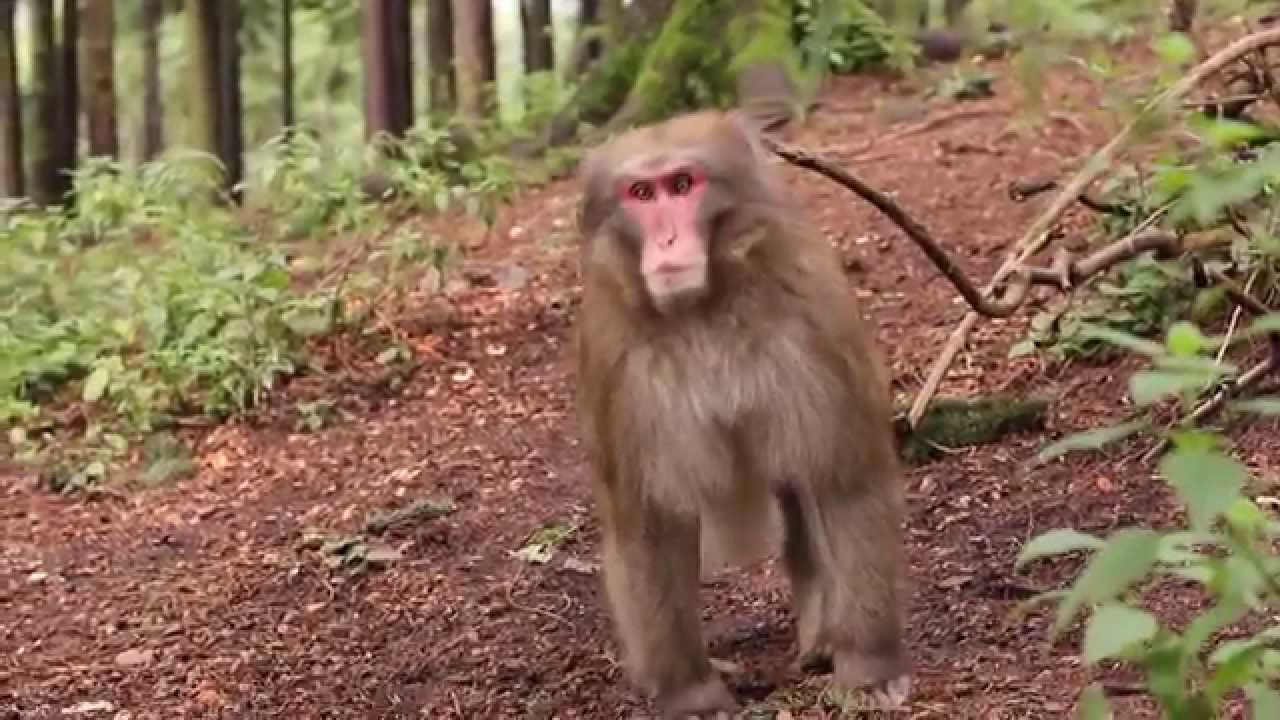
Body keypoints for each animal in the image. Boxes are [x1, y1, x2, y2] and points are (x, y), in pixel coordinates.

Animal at [574, 111, 911, 719]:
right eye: (641, 193)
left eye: (683, 184)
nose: (666, 240)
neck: (704, 309)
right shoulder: (618, 359)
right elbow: (650, 522)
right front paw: (691, 694)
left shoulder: (809, 311)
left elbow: (843, 479)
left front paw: (870, 665)